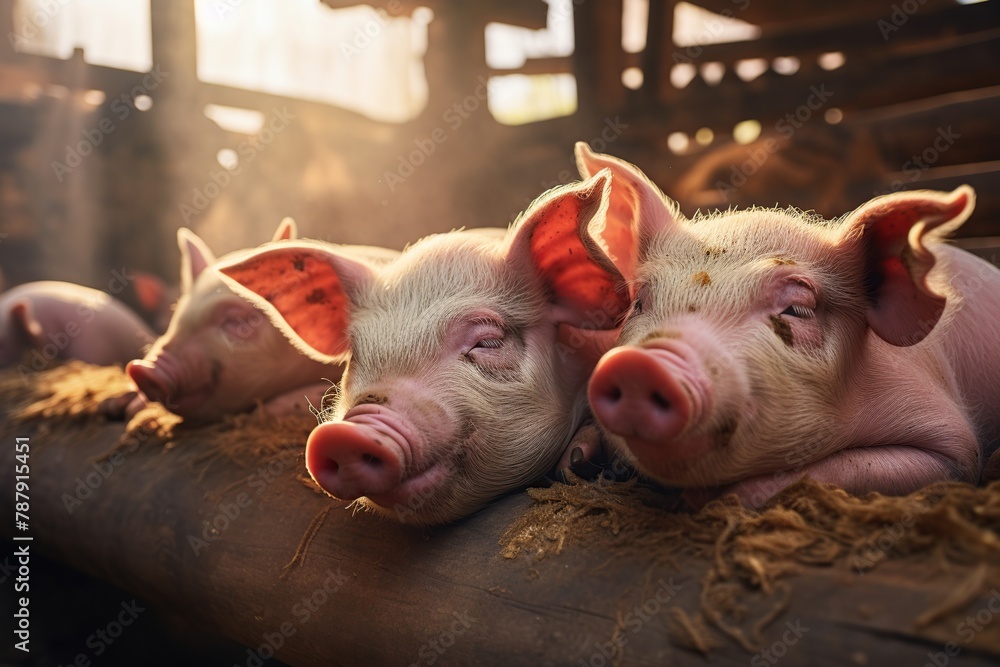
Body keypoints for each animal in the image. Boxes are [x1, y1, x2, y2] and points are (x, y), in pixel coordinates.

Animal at [576, 143, 1000, 507]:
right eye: (639, 302)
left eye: (796, 309)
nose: (640, 364)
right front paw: (577, 459)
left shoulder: (950, 441)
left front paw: (711, 500)